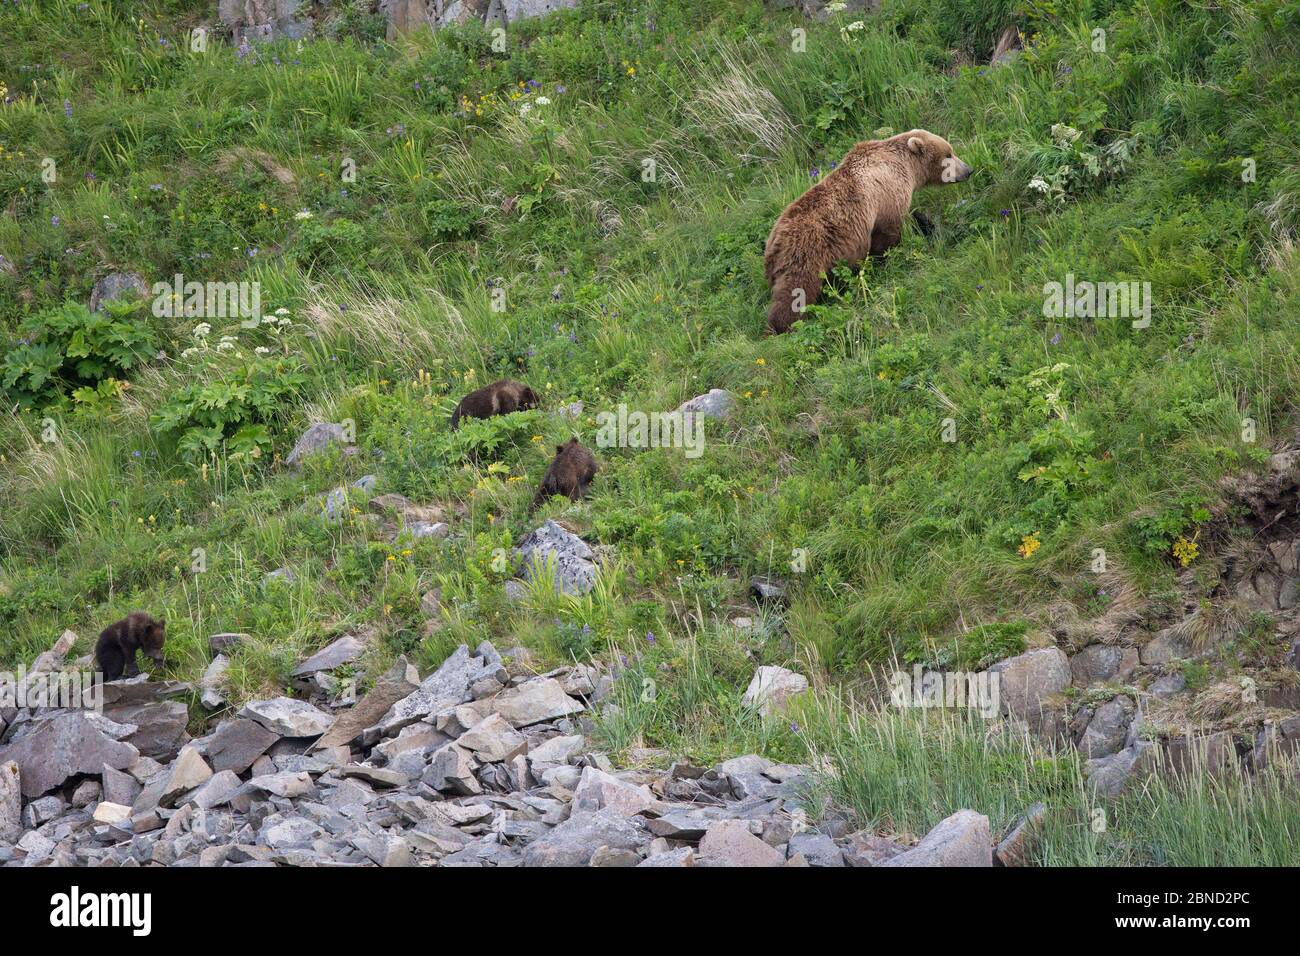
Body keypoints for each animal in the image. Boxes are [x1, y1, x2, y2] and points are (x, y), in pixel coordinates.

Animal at [763, 129, 973, 333]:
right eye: (948, 154)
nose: (968, 170)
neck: (908, 166)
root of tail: (774, 242)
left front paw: (927, 225)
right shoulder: (887, 197)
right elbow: (887, 235)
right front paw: (887, 259)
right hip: (806, 254)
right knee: (795, 293)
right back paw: (782, 327)